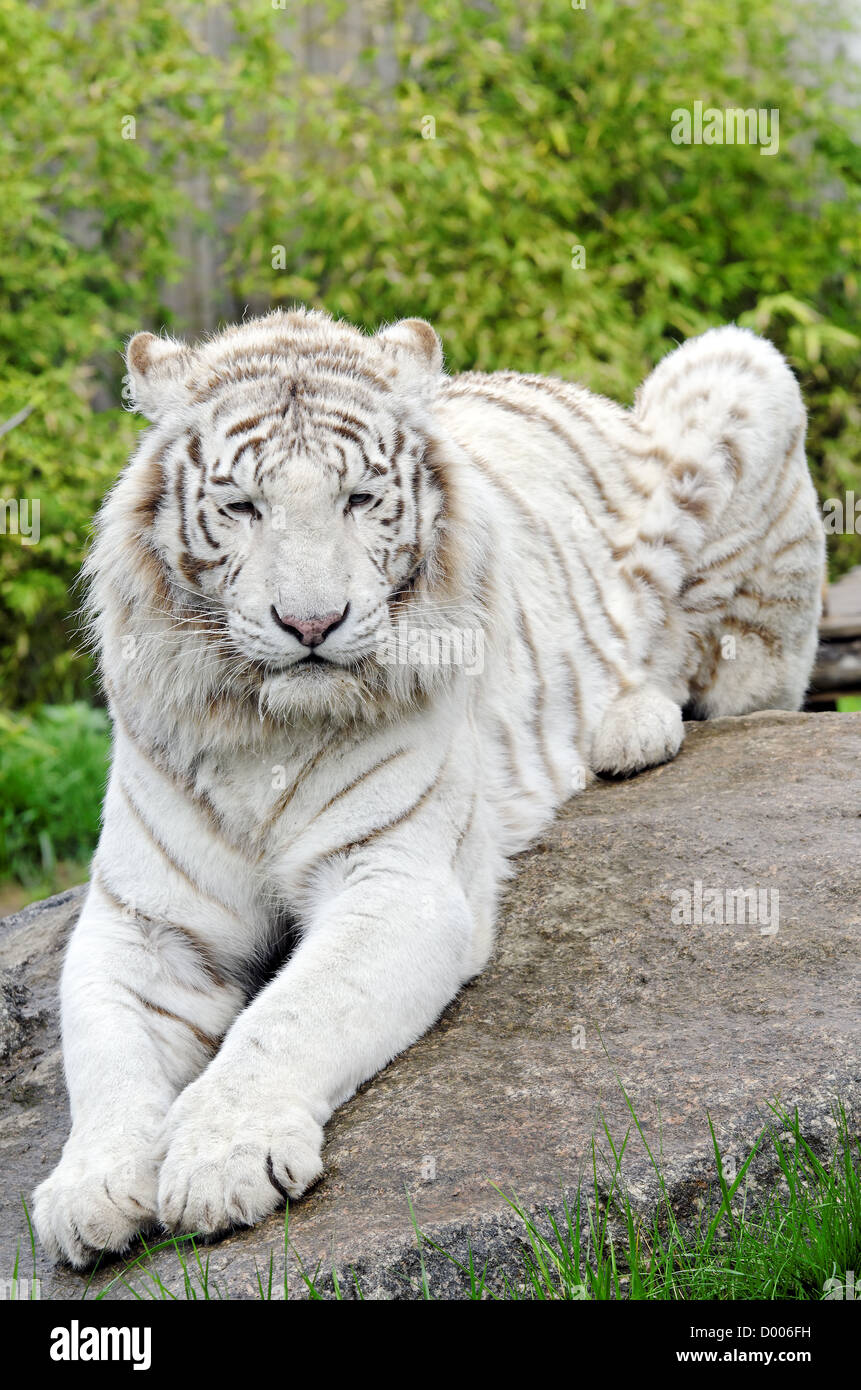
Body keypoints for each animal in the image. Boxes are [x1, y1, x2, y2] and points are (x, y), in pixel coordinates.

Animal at [33, 308, 824, 1266]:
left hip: (739, 373)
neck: (267, 727)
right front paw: (90, 1188)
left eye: (359, 499)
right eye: (243, 507)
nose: (311, 624)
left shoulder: (397, 879)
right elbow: (103, 1047)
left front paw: (222, 1160)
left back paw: (632, 724)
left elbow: (285, 1019)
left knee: (720, 678)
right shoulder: (145, 917)